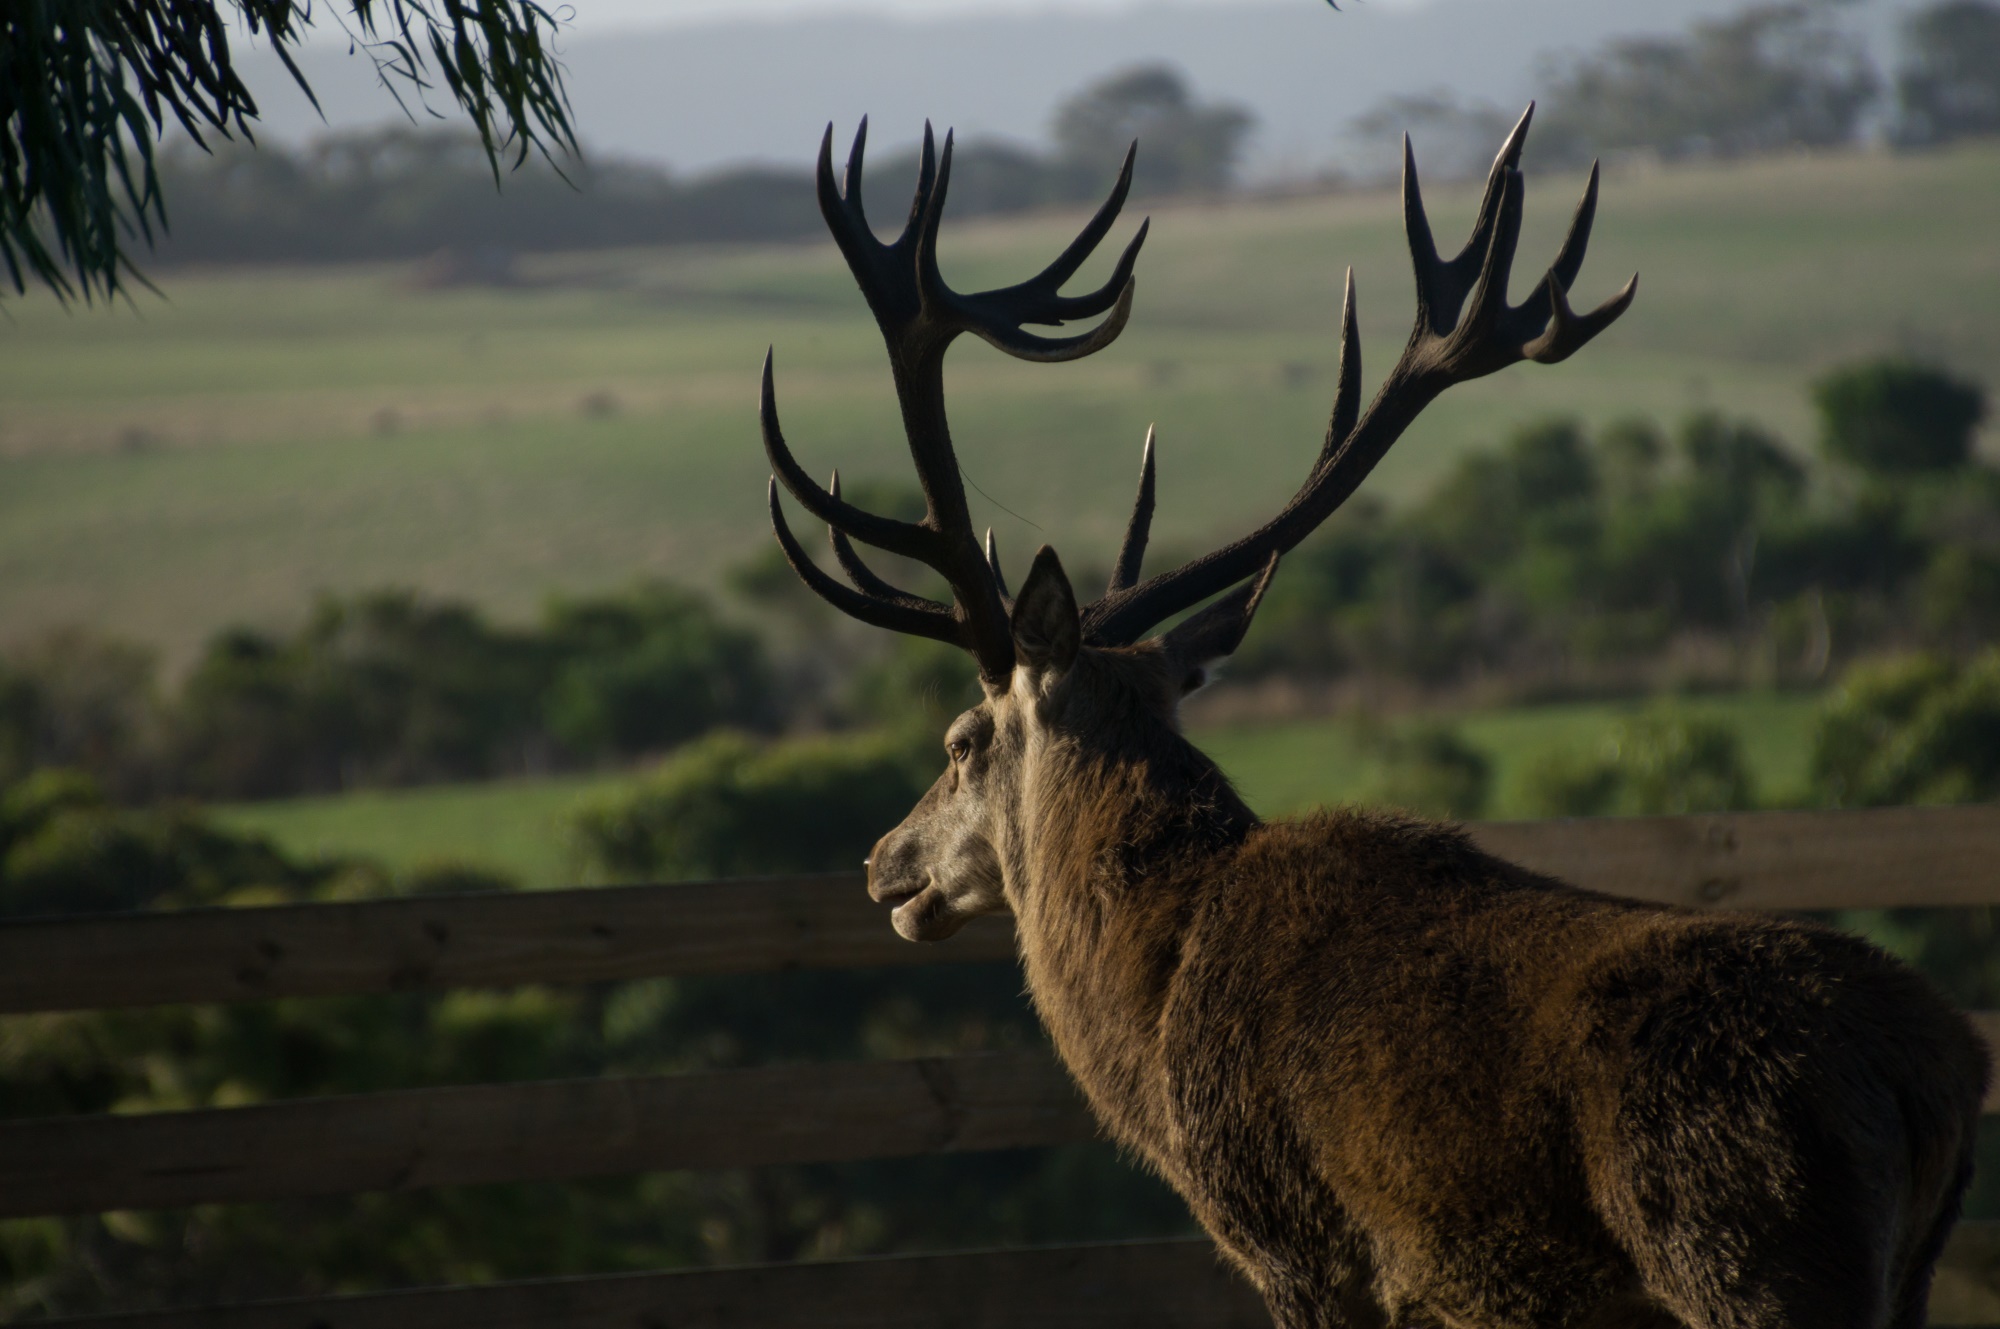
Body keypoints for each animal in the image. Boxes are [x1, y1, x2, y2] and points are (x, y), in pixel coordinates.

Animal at [755, 108, 1990, 1329]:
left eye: (961, 740)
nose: (882, 862)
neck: (1149, 1021)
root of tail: (1936, 1074)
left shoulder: (1298, 1245)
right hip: (1900, 1274)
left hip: (1746, 1253)